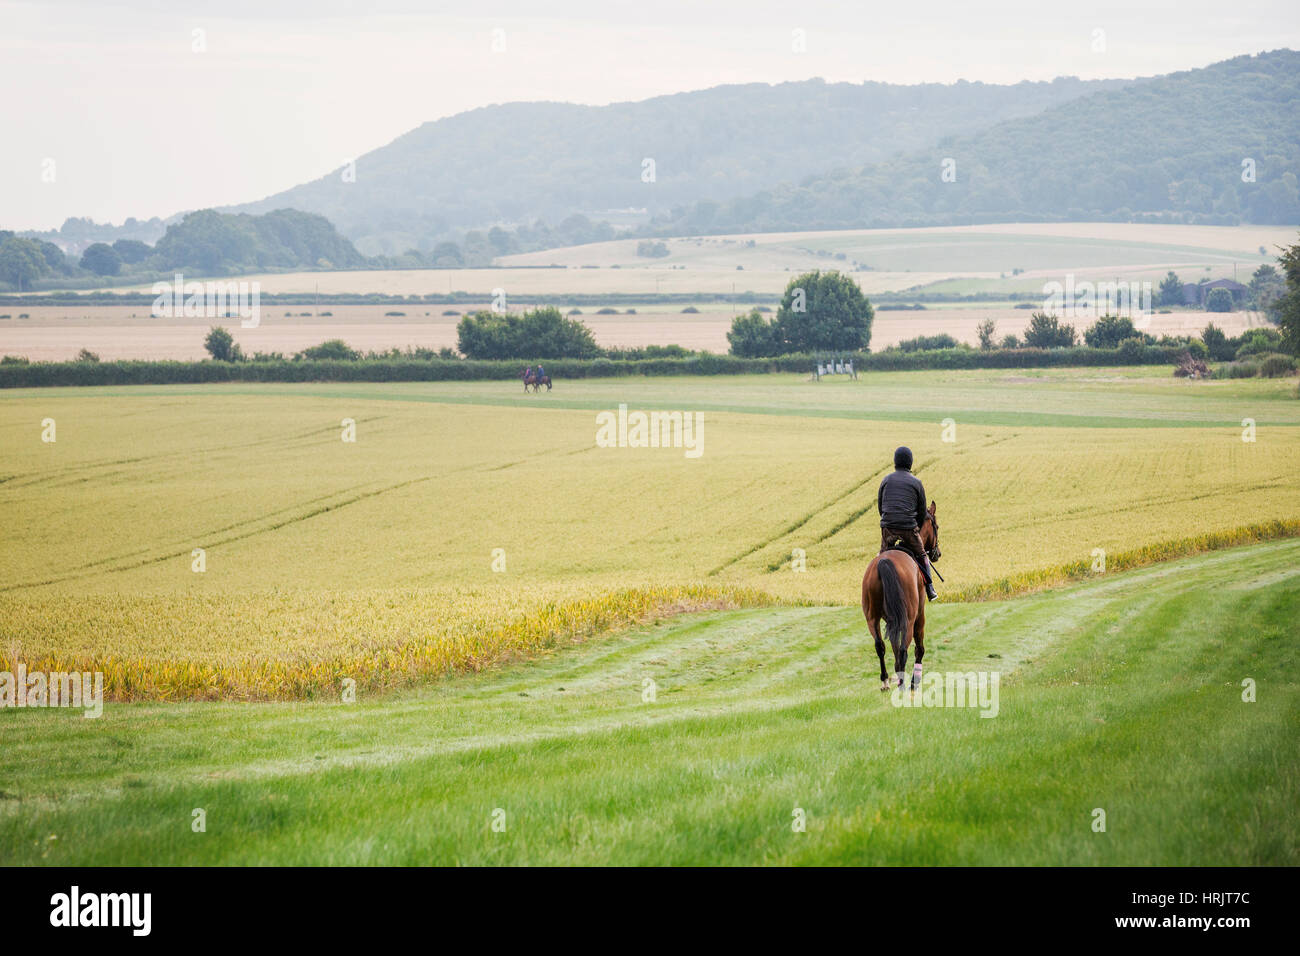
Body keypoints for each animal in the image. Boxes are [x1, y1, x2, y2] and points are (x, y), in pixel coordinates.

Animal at [861, 501, 941, 692]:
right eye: (937, 526)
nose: (937, 554)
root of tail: (884, 562)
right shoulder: (919, 614)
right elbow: (919, 648)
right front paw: (914, 682)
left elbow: (893, 647)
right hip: (908, 618)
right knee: (905, 649)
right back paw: (904, 685)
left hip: (872, 617)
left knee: (880, 646)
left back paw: (885, 681)